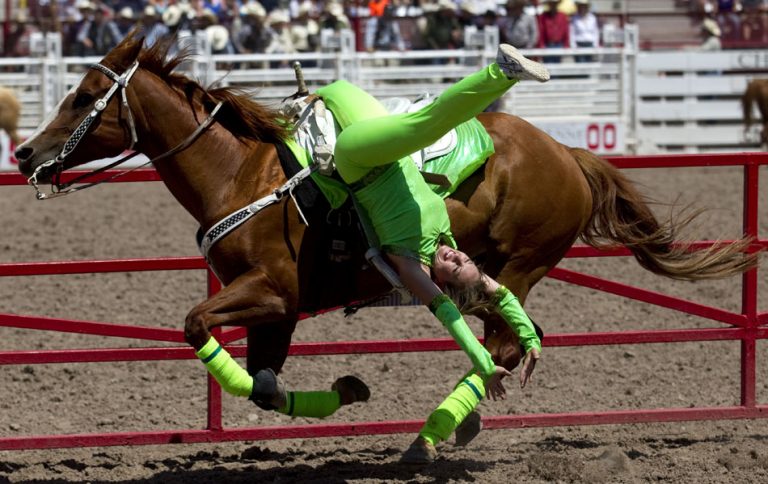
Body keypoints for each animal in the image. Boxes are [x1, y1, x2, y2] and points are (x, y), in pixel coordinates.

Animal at [14, 34, 757, 405]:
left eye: (84, 94)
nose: (25, 153)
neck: (241, 174)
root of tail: (568, 153)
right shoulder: (279, 314)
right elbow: (265, 388)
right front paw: (345, 391)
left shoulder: (272, 294)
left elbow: (197, 324)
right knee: (514, 340)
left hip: (521, 262)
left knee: (506, 343)